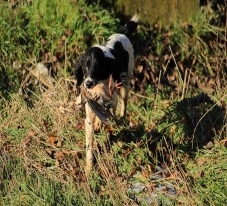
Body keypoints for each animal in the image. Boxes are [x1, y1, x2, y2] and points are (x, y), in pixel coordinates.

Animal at [74, 14, 138, 172]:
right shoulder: (88, 117)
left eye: (97, 67)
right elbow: (89, 144)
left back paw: (121, 118)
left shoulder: (111, 99)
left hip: (125, 85)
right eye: (85, 66)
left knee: (123, 105)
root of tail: (122, 33)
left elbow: (107, 112)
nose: (87, 84)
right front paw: (89, 167)